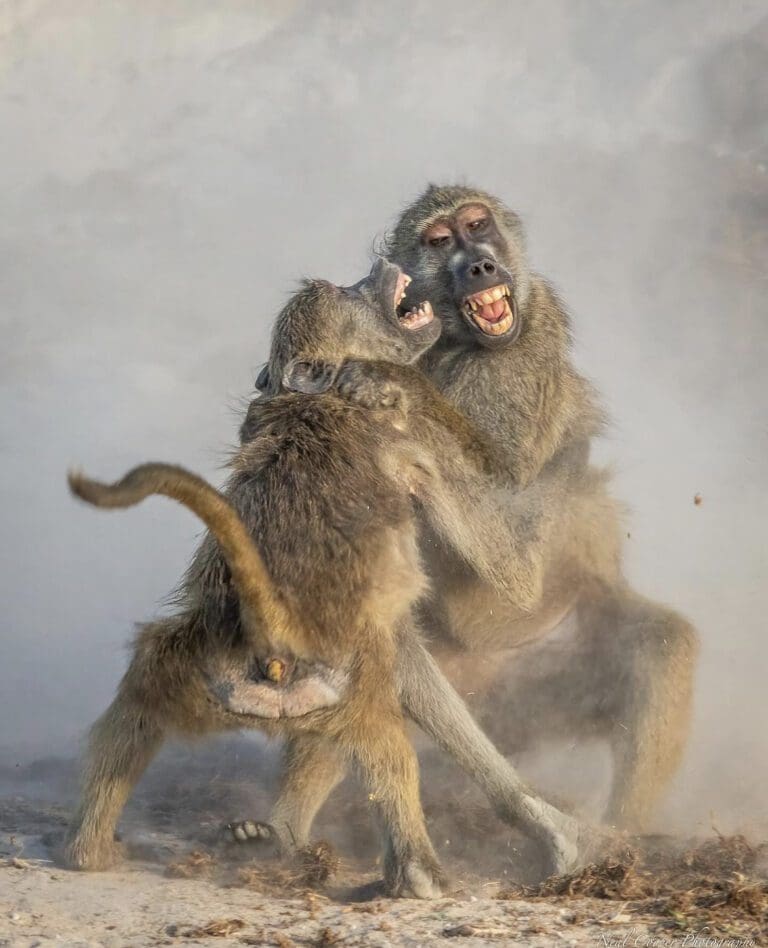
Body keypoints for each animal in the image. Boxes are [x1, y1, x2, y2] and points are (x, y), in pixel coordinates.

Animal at [62, 257, 587, 897]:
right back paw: (418, 875)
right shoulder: (412, 441)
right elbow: (513, 578)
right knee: (386, 725)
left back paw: (104, 850)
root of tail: (268, 635)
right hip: (339, 685)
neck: (318, 397)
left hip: (191, 671)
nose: (379, 267)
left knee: (138, 704)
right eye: (348, 293)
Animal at [239, 185, 699, 851]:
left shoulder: (530, 344)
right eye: (440, 240)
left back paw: (623, 834)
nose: (481, 265)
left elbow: (519, 550)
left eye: (477, 225)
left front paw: (389, 387)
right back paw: (282, 826)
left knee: (660, 645)